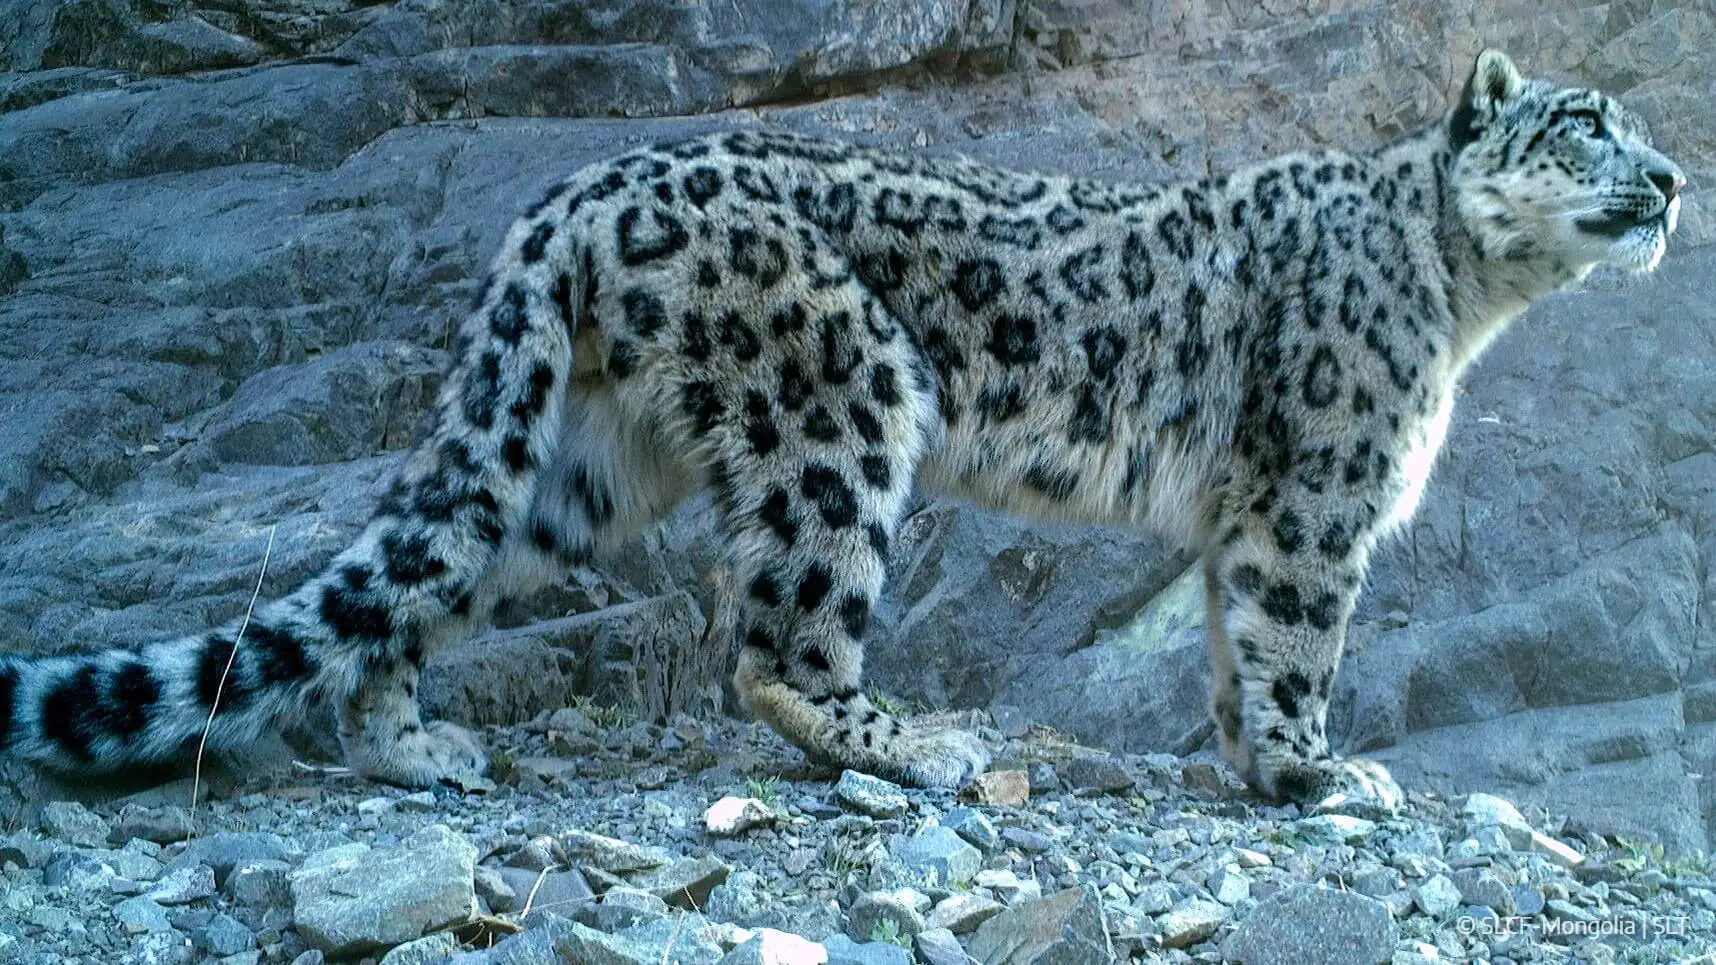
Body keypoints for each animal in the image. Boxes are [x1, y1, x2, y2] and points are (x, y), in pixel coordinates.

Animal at [0, 50, 1684, 812]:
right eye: (1585, 125)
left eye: (1636, 130)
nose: (1674, 179)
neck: (1471, 301)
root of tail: (579, 191)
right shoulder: (1317, 490)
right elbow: (1293, 639)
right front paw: (1315, 775)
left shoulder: (1254, 512)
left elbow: (1227, 642)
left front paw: (1254, 765)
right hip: (847, 396)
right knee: (776, 640)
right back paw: (916, 739)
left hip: (580, 462)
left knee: (434, 570)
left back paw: (413, 745)